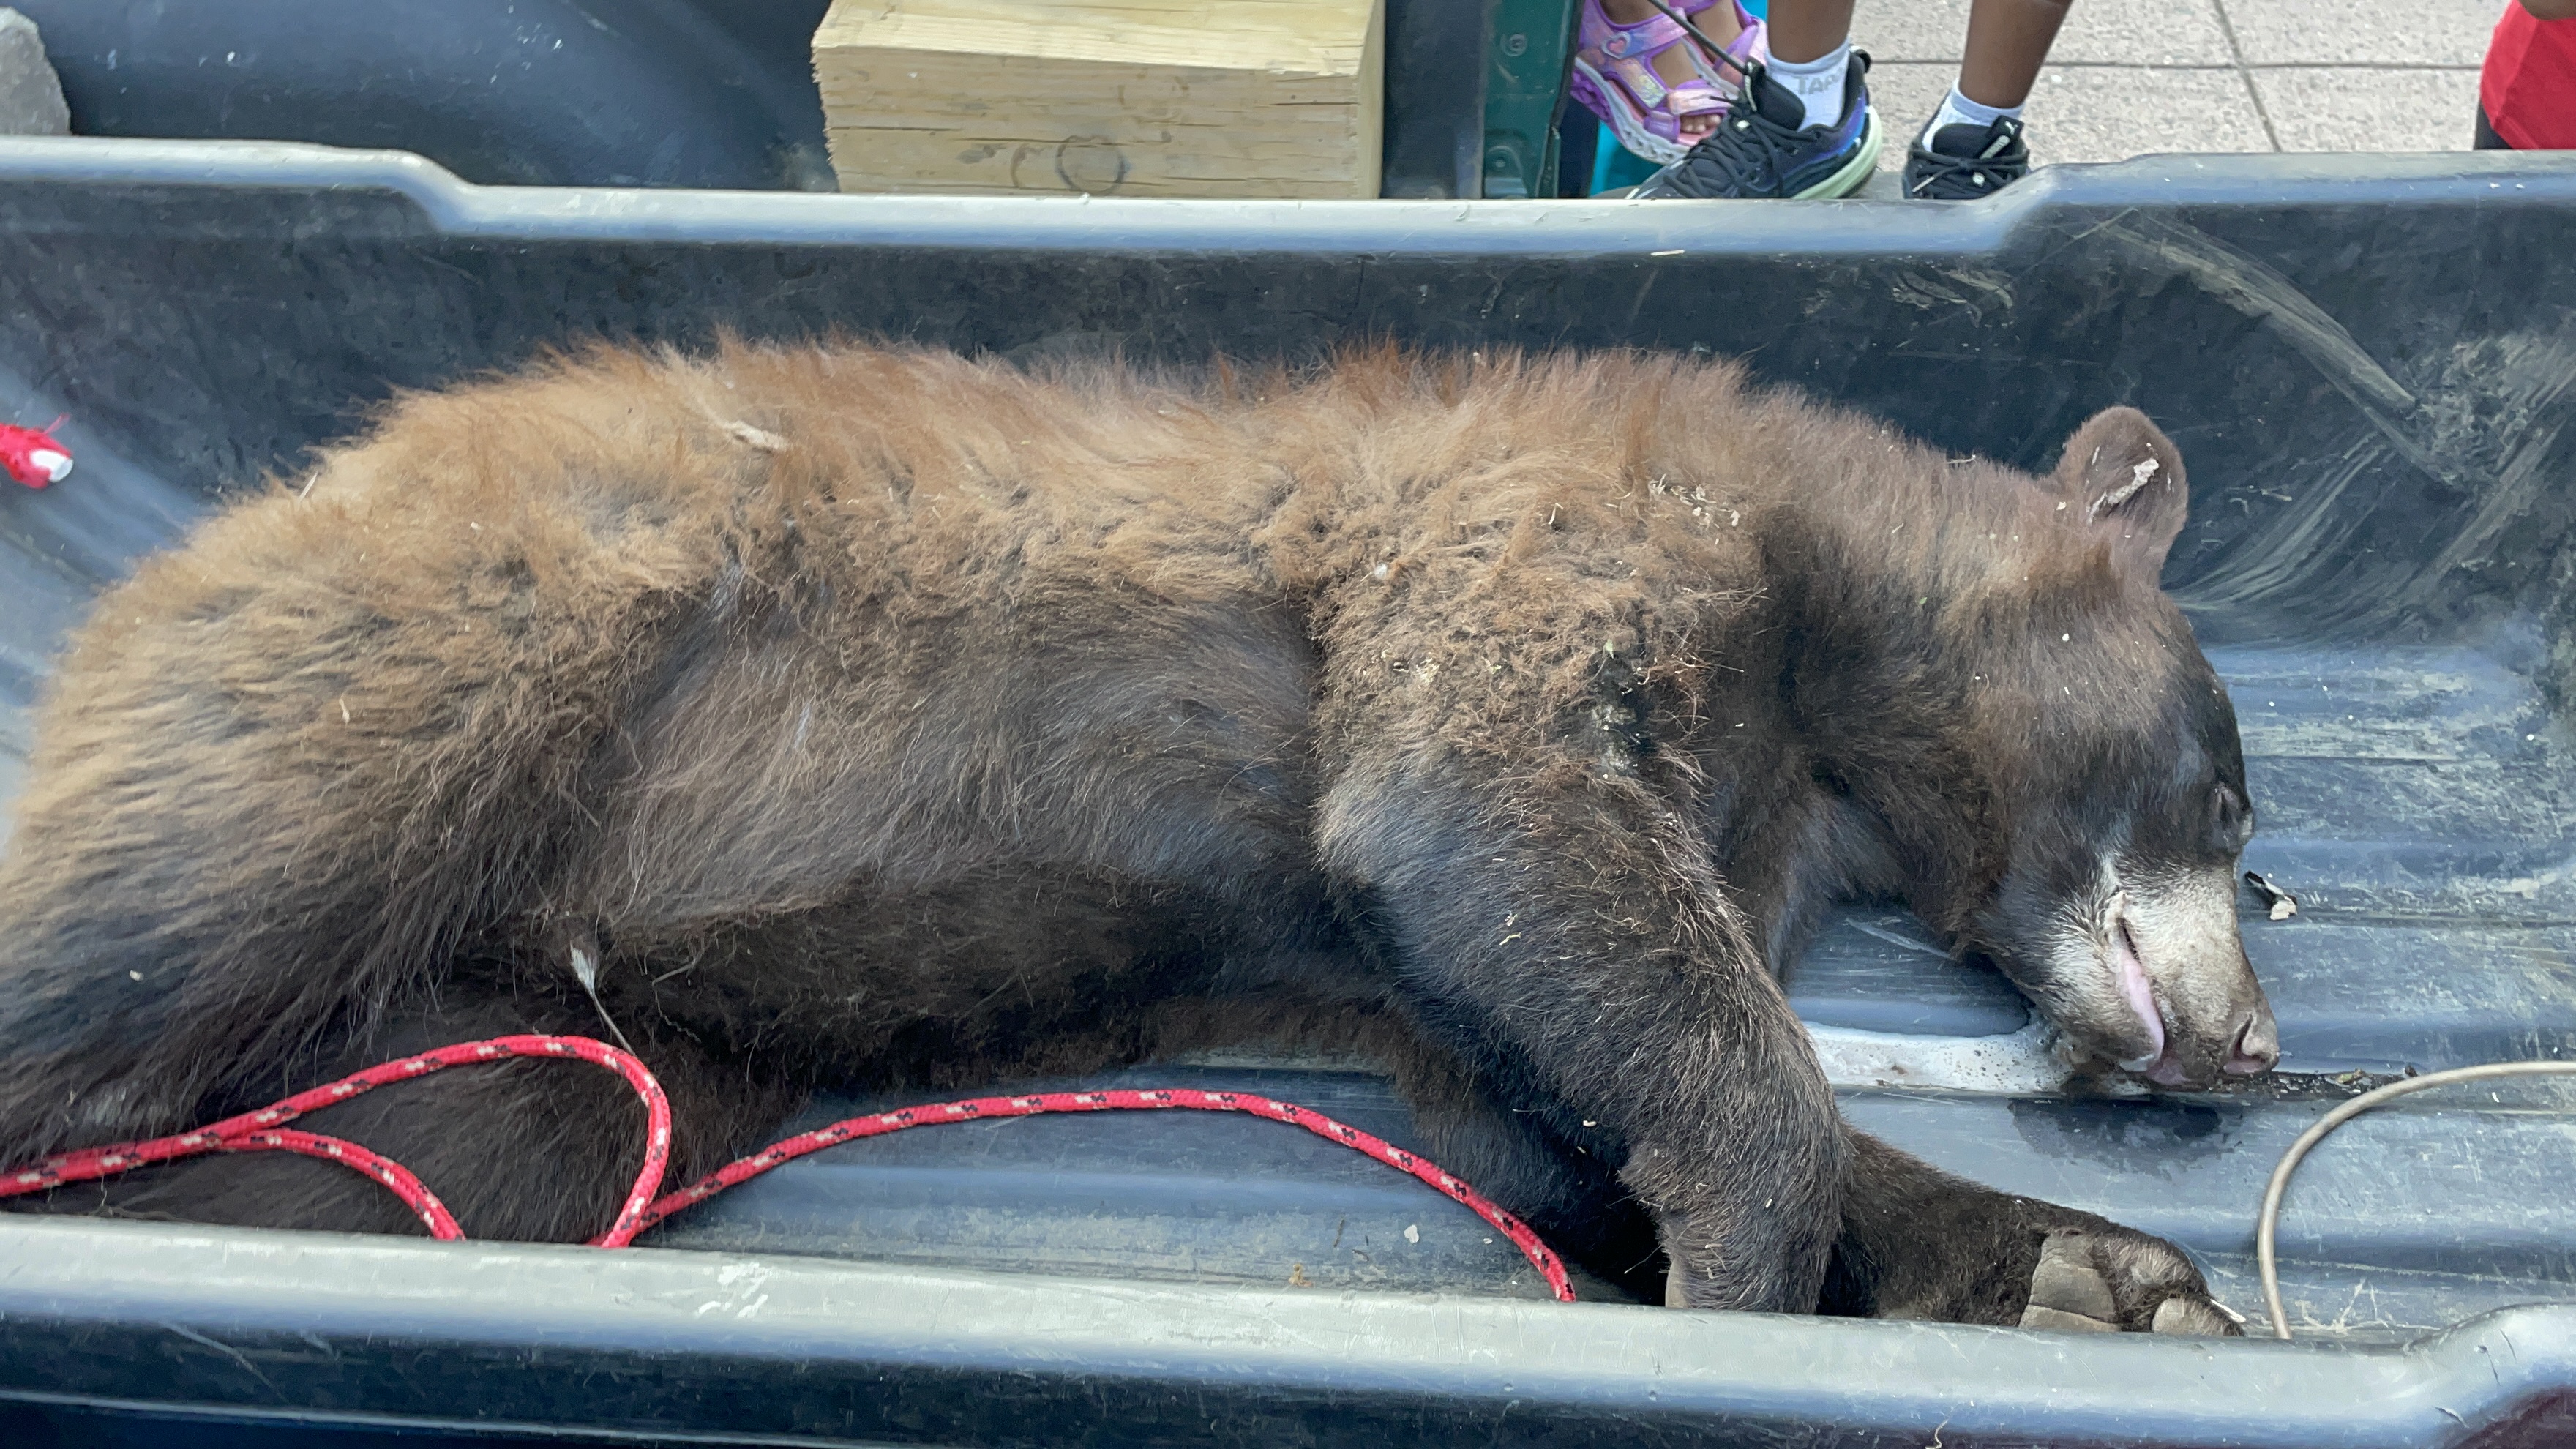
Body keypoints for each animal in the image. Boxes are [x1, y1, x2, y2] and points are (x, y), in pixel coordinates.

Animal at [0, 340, 2274, 1331]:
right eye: (2238, 810)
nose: (2252, 1047)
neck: (1824, 698)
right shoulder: (1553, 534)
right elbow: (1482, 808)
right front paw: (1752, 1259)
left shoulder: (1425, 964)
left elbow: (1530, 1067)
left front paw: (2083, 1268)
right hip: (442, 664)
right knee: (139, 916)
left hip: (579, 1042)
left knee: (417, 1155)